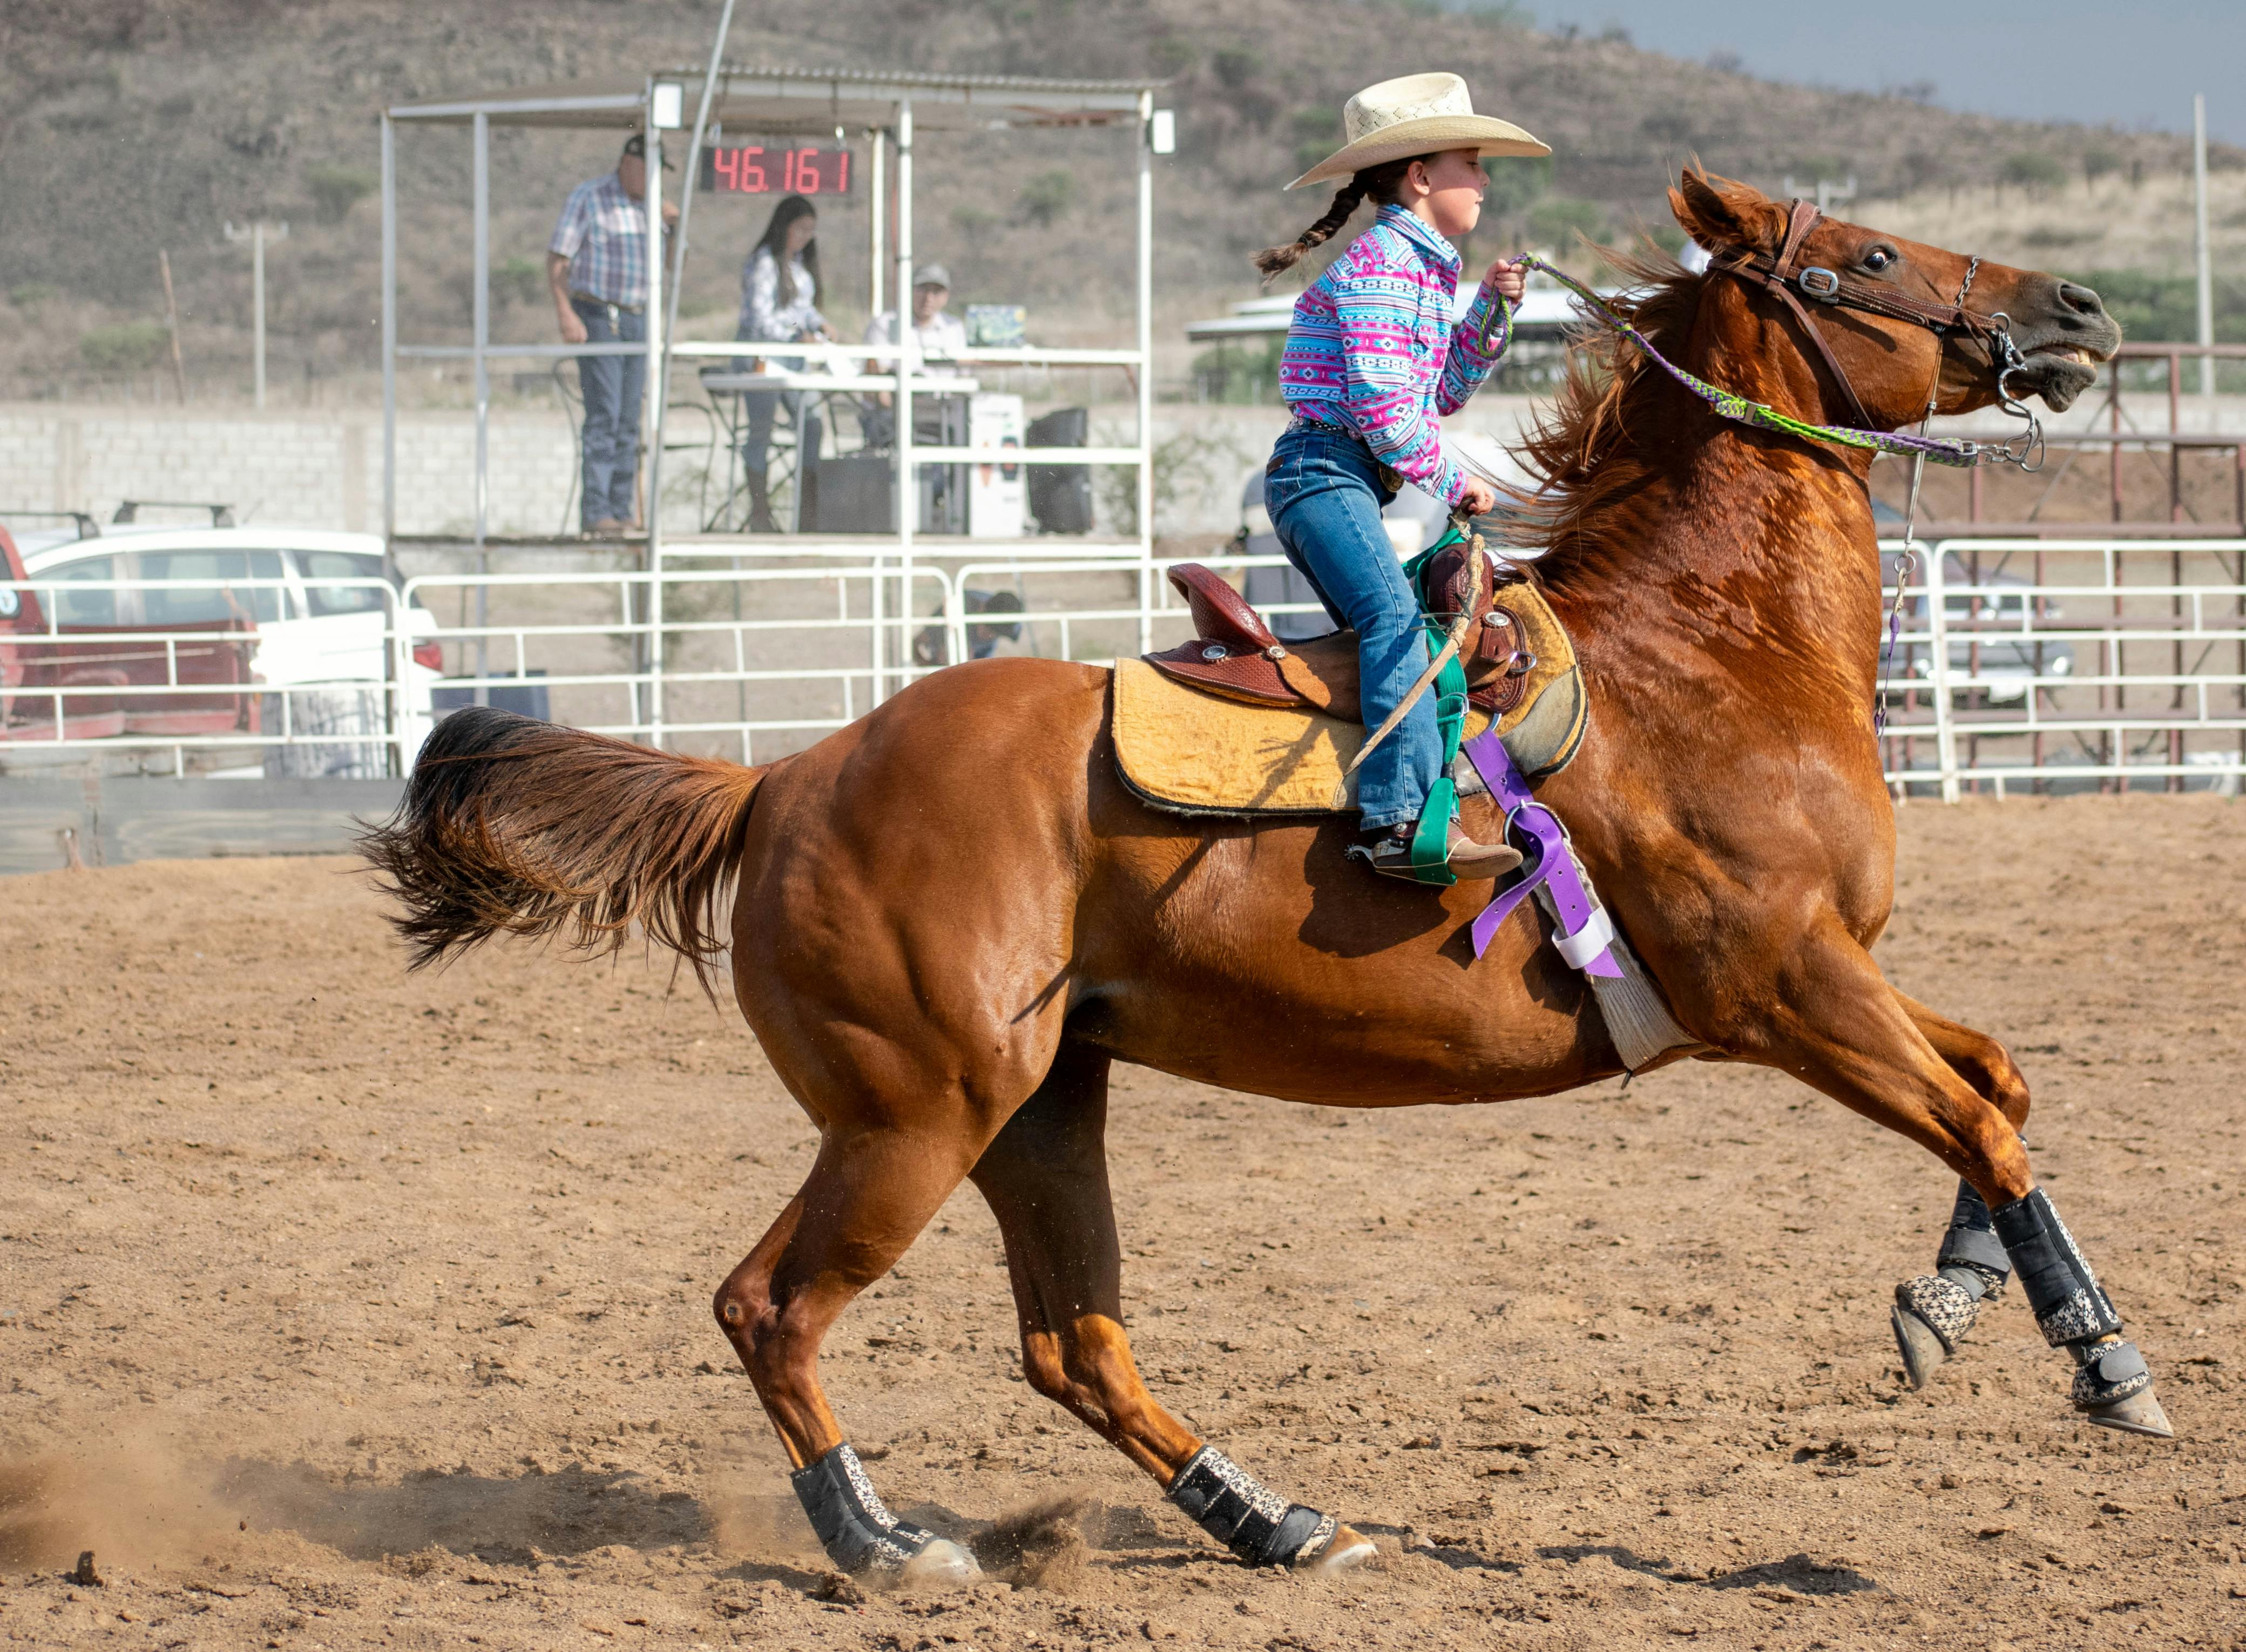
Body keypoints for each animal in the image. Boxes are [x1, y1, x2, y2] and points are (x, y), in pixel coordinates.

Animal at [364, 171, 2160, 1584]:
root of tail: (786, 777)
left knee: (1071, 1341)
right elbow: (1985, 1117)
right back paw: (884, 1541)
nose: (2079, 307)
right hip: (913, 1116)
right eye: (1865, 252)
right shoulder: (1781, 984)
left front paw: (1947, 1303)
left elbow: (2000, 1082)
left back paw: (1269, 1517)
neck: (1703, 658)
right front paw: (2101, 1358)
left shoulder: (1838, 970)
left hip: (1039, 1107)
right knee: (775, 1309)